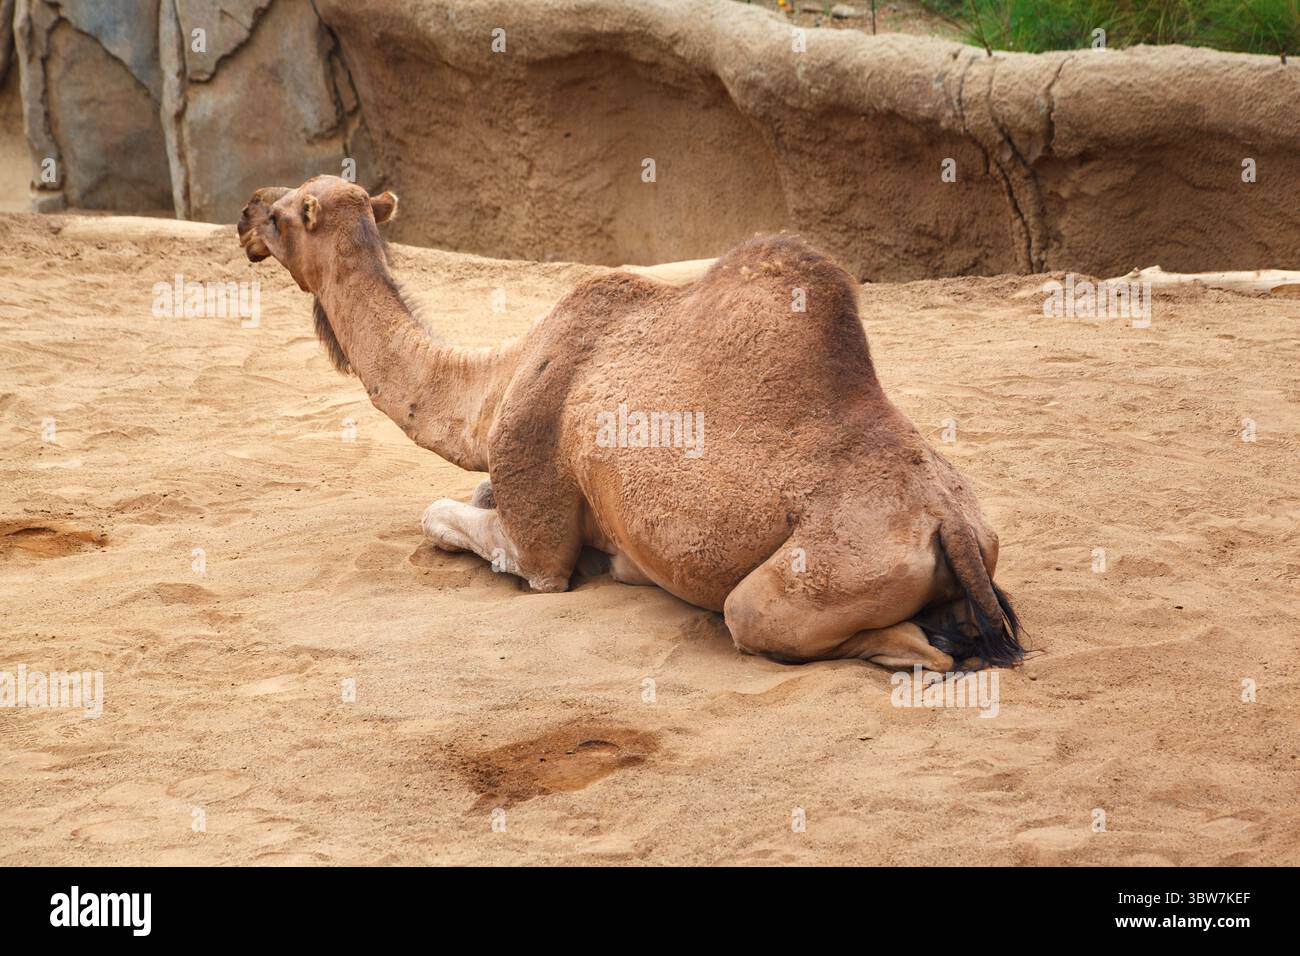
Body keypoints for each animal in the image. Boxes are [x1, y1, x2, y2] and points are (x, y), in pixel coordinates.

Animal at [237, 176, 1024, 671]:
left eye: (287, 214)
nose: (245, 214)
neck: (499, 381)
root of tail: (950, 522)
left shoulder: (537, 536)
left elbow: (446, 519)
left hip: (810, 578)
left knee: (781, 622)